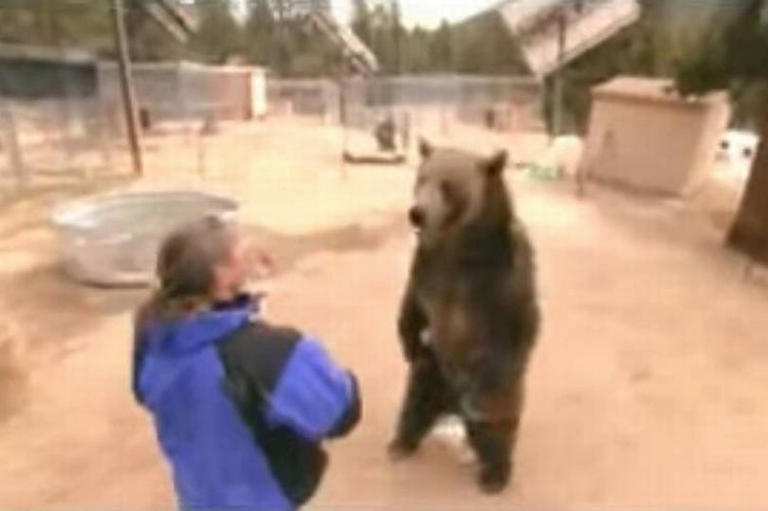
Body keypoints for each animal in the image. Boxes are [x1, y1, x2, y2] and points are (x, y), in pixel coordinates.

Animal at [389, 139, 540, 494]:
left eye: (448, 185)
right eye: (422, 178)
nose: (417, 212)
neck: (458, 242)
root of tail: (453, 409)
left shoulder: (502, 274)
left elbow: (520, 321)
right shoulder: (427, 263)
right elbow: (412, 305)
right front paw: (407, 341)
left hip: (492, 393)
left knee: (496, 430)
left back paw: (495, 475)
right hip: (430, 373)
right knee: (413, 406)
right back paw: (401, 443)